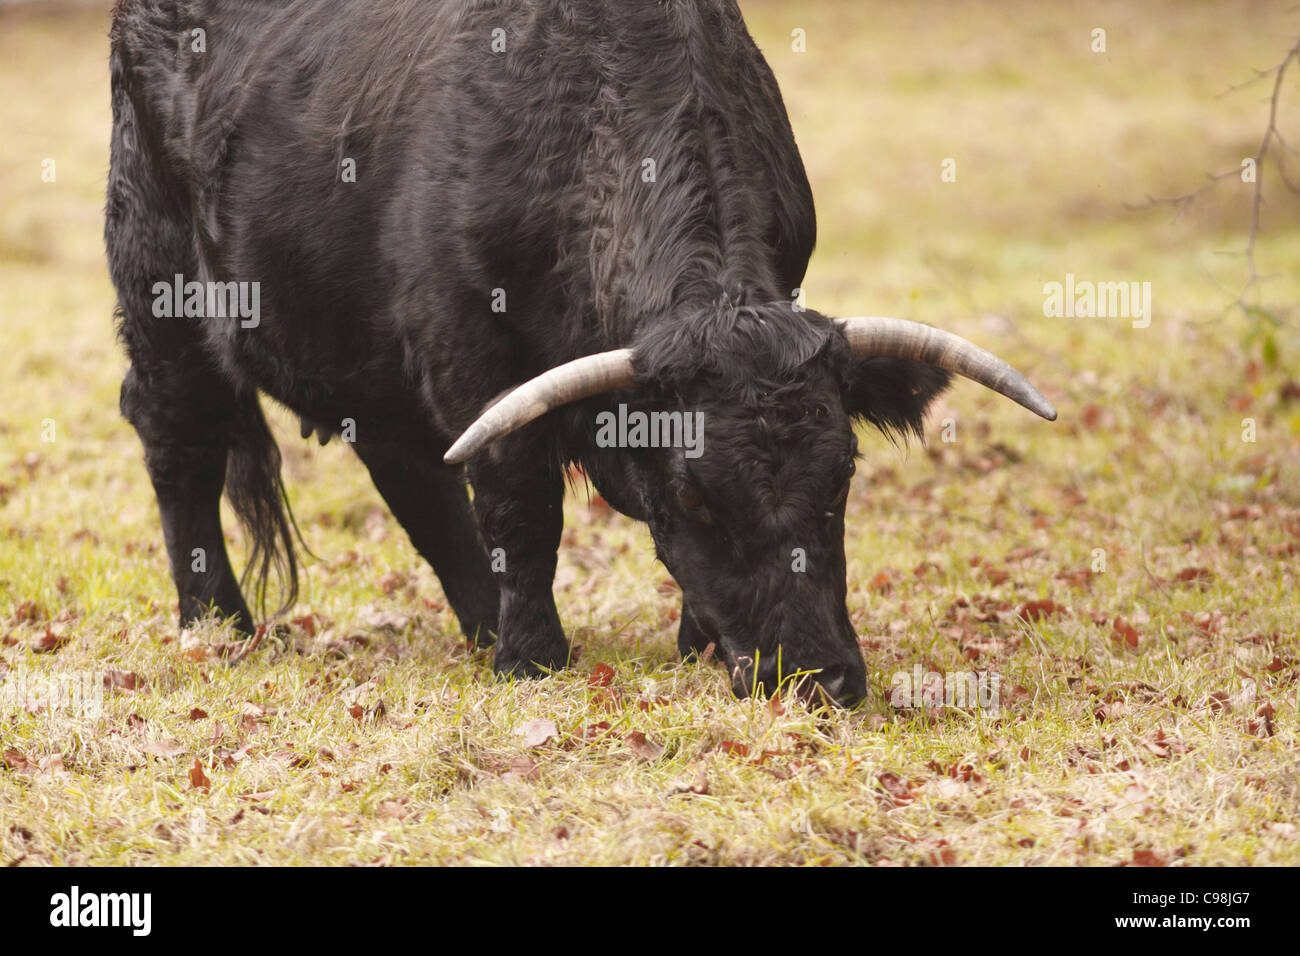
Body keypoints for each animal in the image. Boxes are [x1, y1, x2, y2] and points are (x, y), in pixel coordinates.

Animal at [107, 0, 1055, 707]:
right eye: (695, 496)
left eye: (843, 476)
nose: (817, 679)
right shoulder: (469, 350)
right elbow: (520, 504)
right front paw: (532, 657)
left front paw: (690, 642)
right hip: (160, 285)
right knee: (178, 439)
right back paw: (217, 623)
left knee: (407, 472)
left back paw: (476, 623)